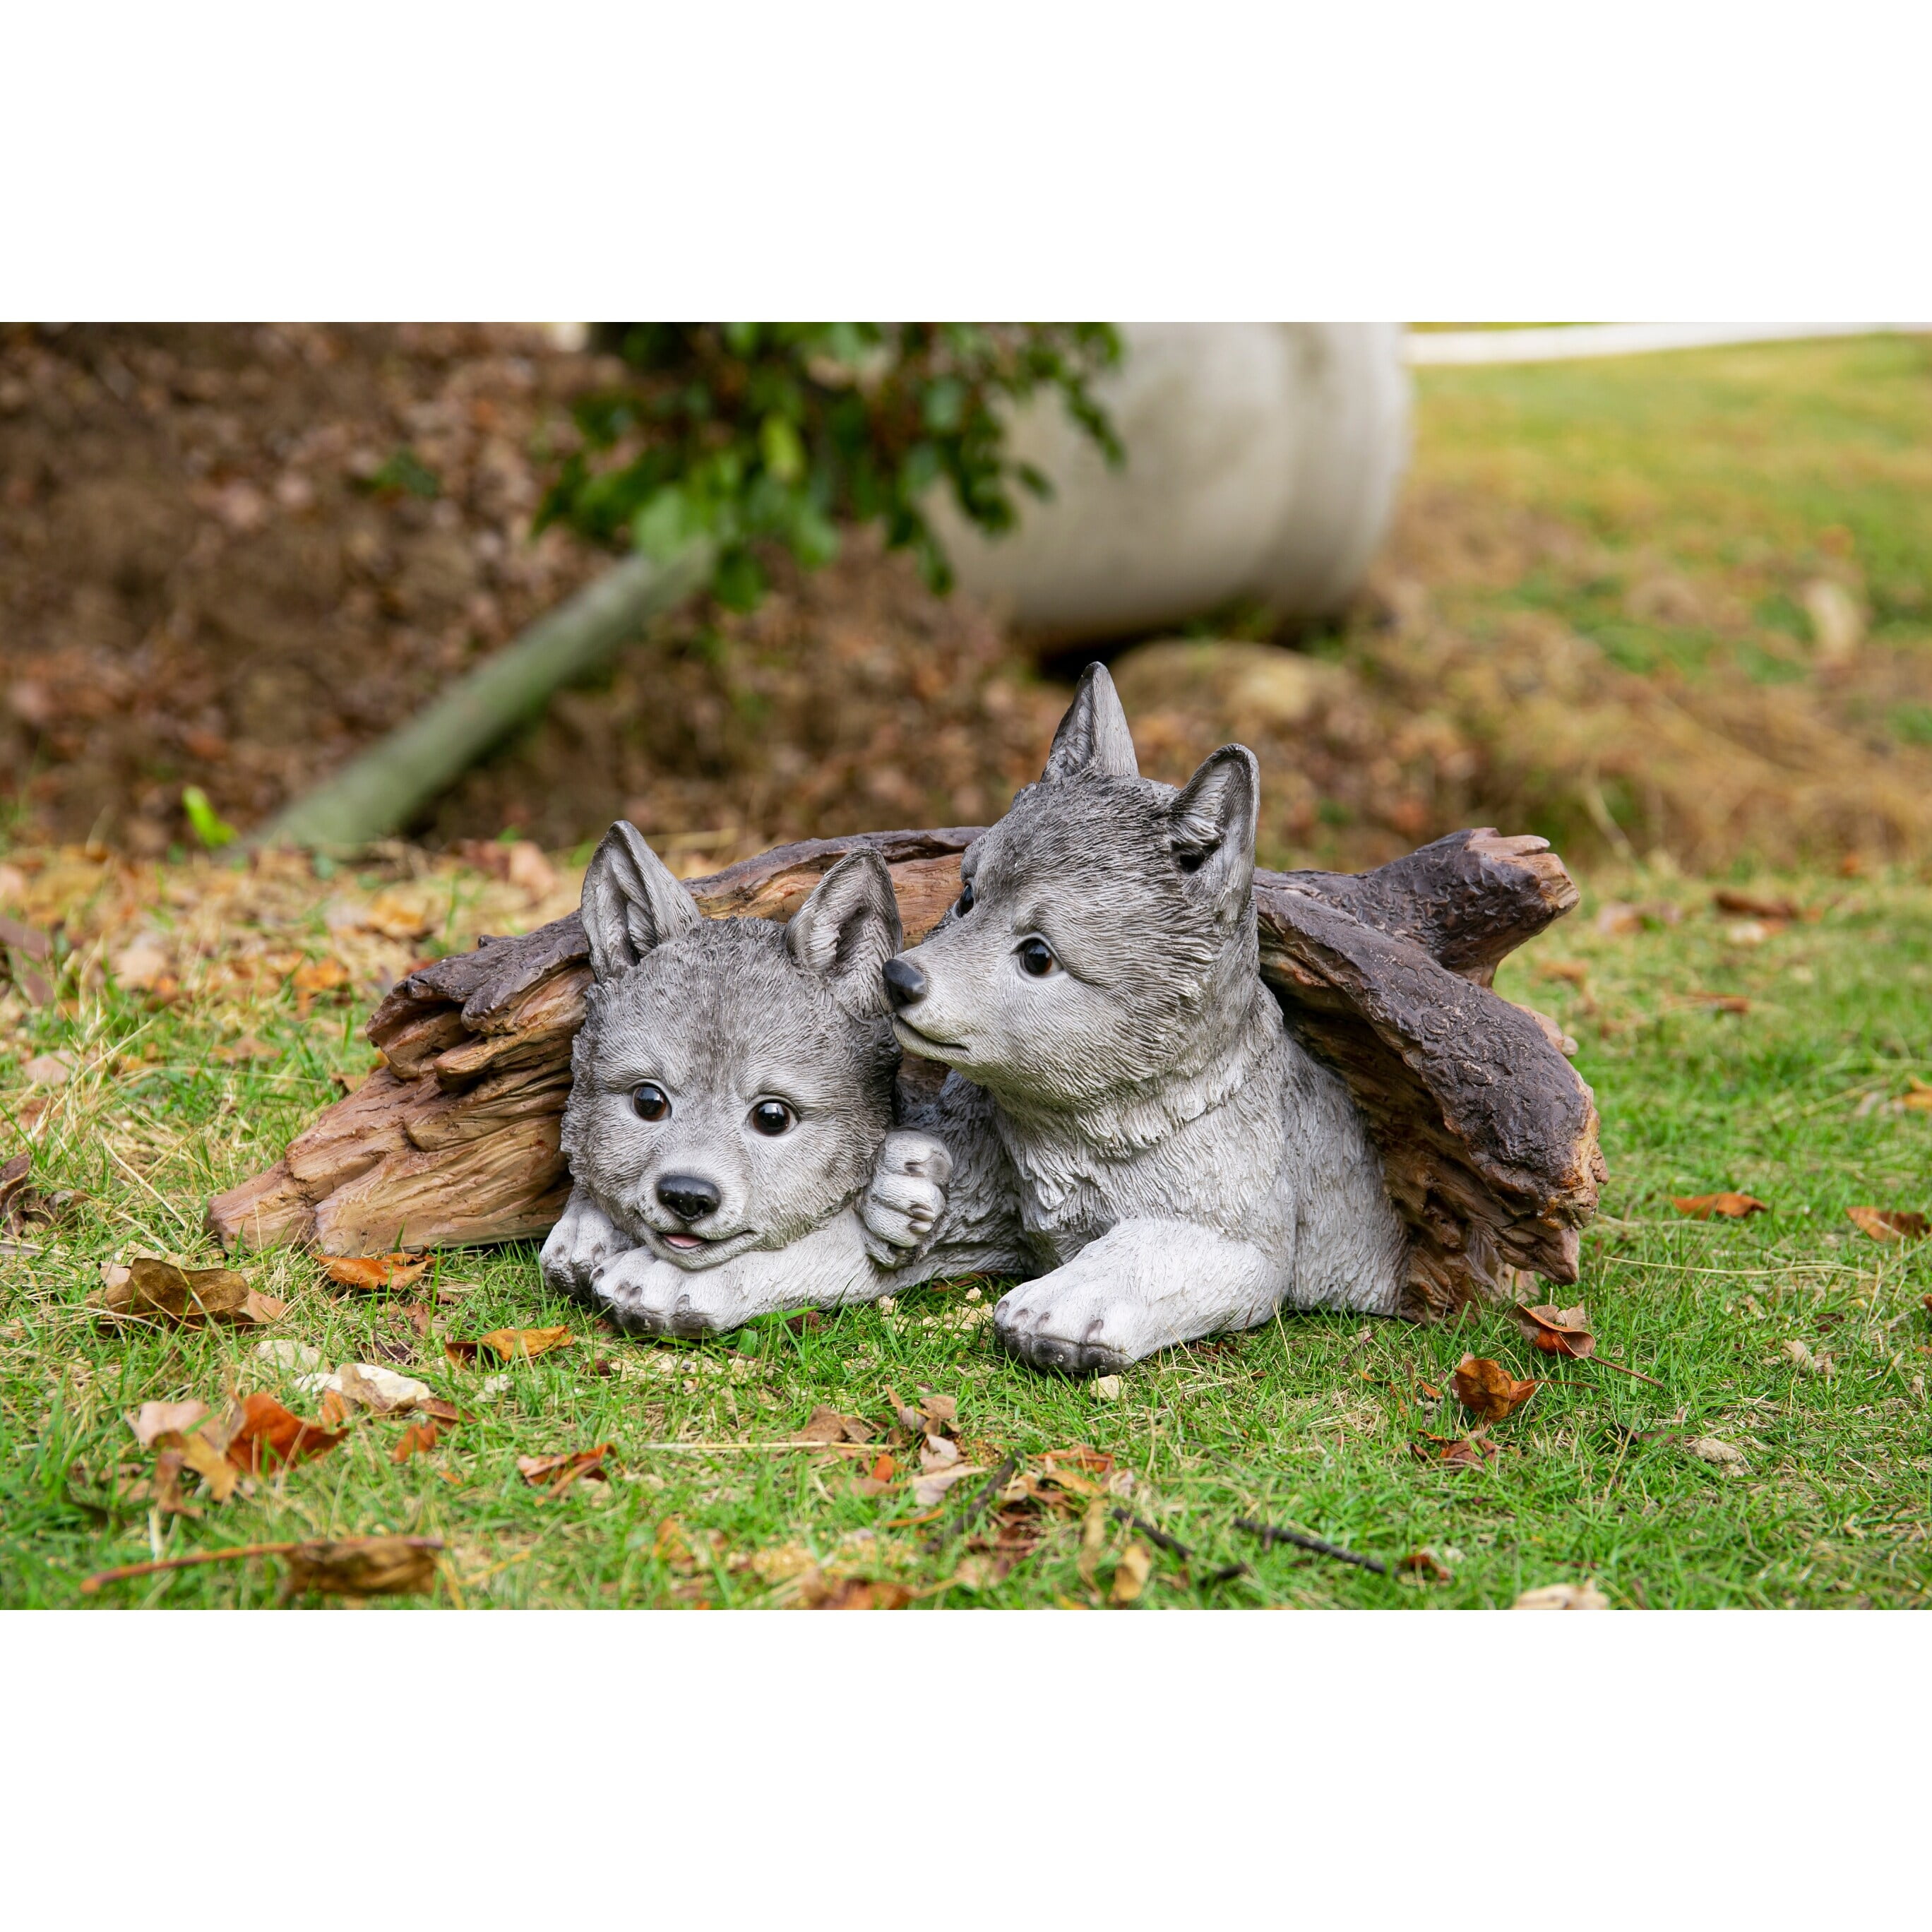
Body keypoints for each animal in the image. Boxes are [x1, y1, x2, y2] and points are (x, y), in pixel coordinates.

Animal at [881, 663, 1409, 1375]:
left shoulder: (1246, 1240)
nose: (899, 979)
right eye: (966, 897)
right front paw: (899, 1187)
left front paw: (1061, 1308)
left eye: (1038, 956)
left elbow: (1151, 1247)